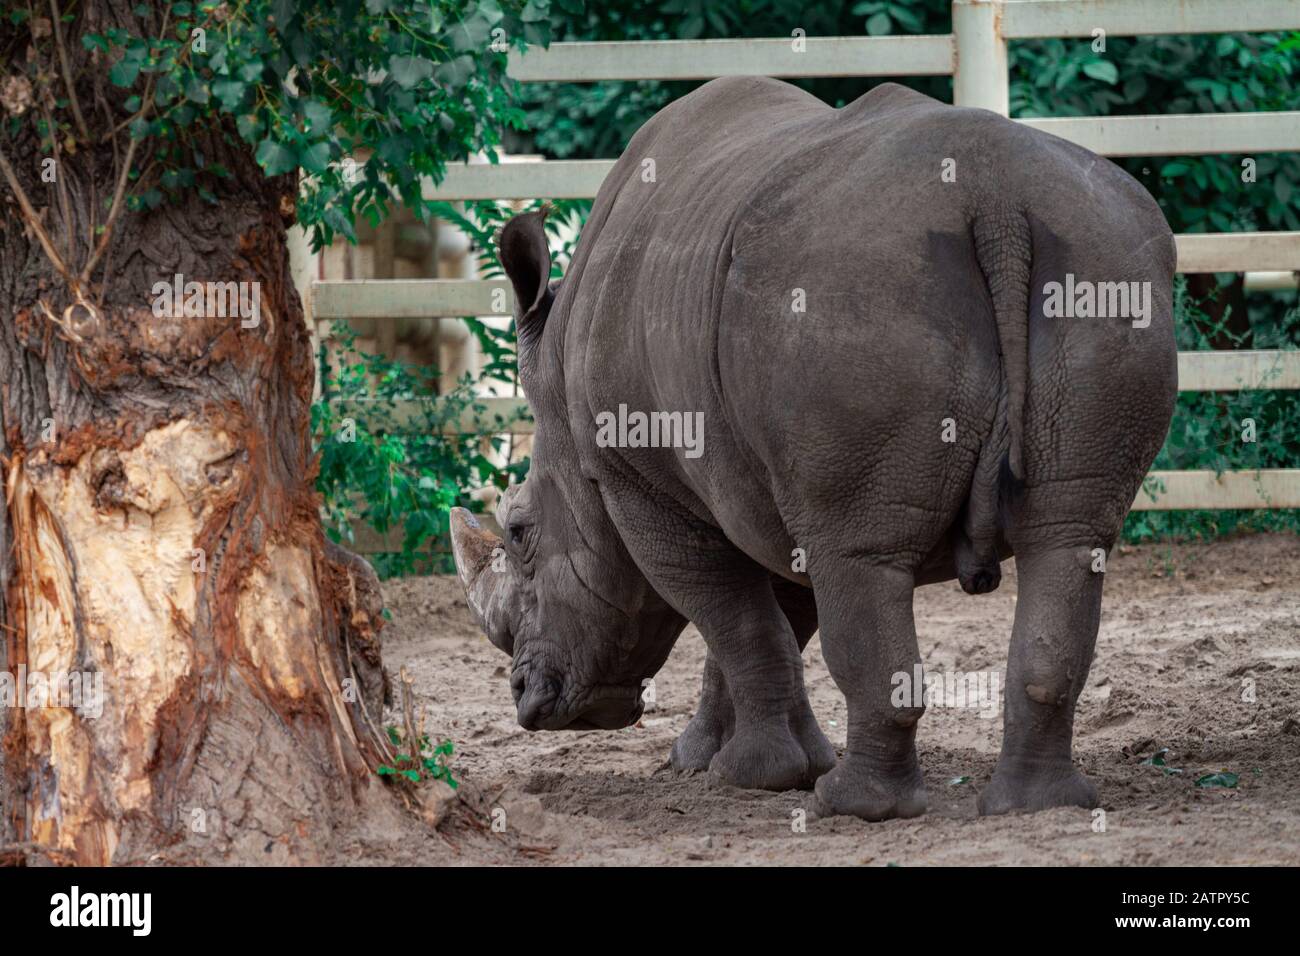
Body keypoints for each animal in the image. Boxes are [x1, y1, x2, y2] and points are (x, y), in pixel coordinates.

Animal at [450, 77, 1176, 820]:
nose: (526, 700)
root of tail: (998, 202)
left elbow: (736, 620)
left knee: (858, 554)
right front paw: (714, 761)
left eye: (519, 531)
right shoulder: (765, 479)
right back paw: (1039, 806)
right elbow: (769, 621)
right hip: (1101, 266)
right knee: (1067, 537)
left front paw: (757, 776)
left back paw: (856, 806)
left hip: (849, 291)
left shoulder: (639, 483)